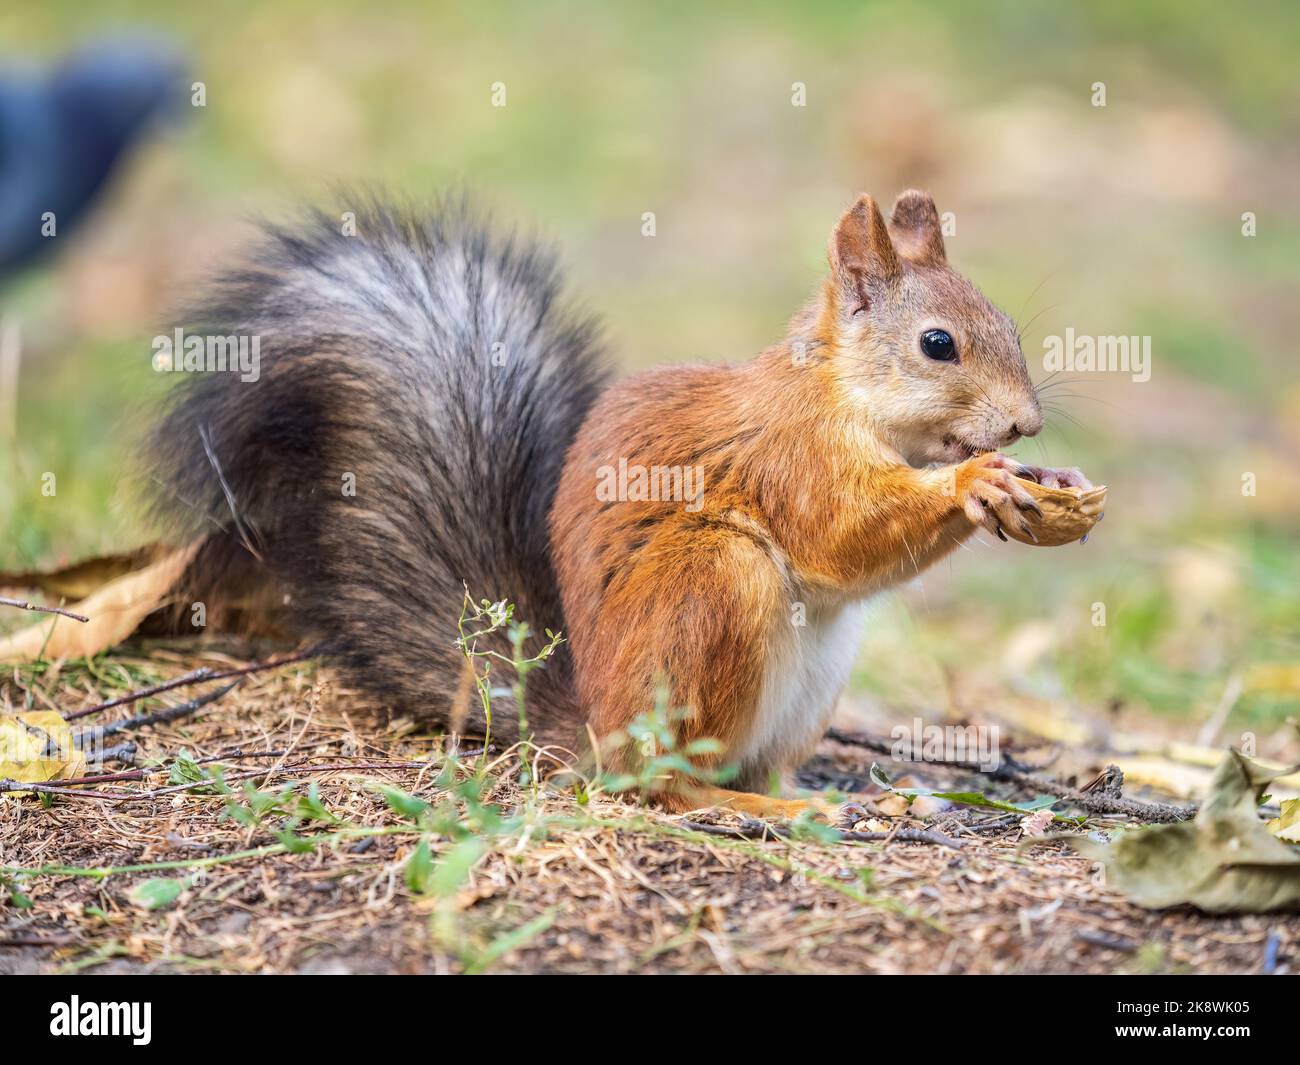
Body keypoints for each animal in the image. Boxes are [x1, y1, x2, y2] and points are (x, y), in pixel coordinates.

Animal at [149, 190, 1089, 818]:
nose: (1027, 421)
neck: (840, 392)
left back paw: (843, 800)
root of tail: (594, 729)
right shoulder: (791, 457)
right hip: (712, 588)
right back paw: (761, 810)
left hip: (812, 680)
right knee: (667, 784)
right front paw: (977, 483)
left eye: (1008, 324)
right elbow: (840, 534)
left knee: (755, 762)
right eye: (938, 344)